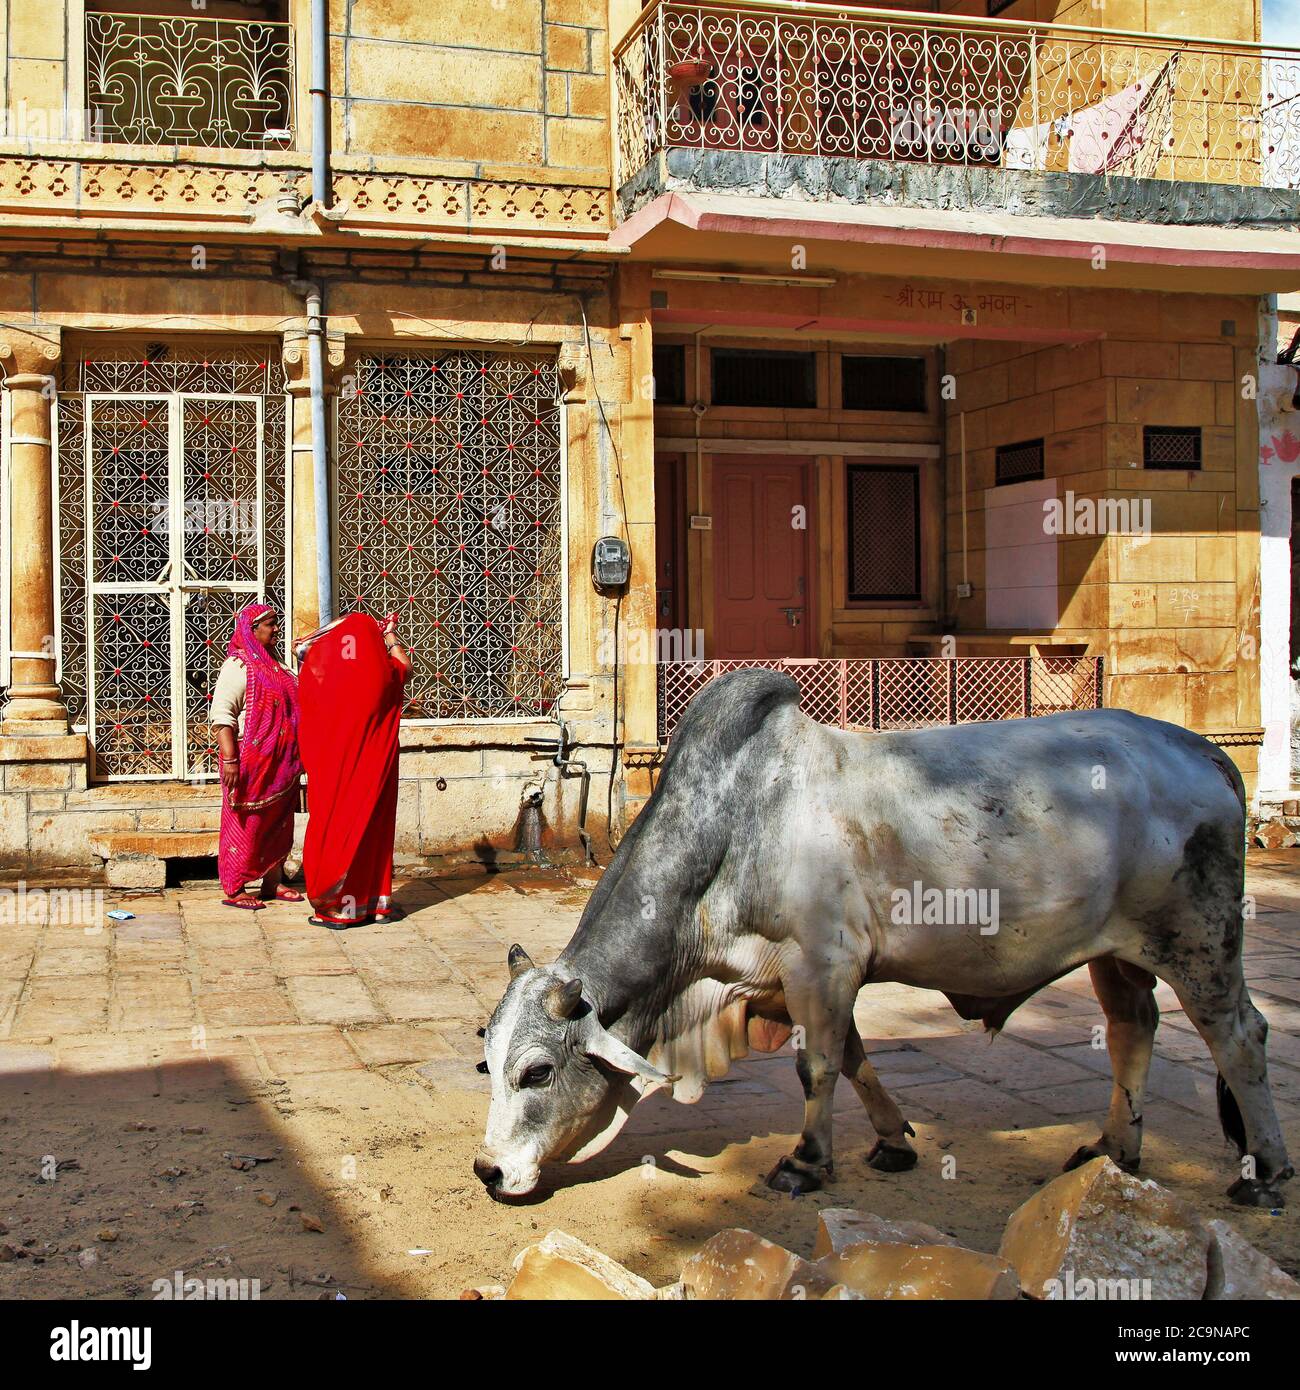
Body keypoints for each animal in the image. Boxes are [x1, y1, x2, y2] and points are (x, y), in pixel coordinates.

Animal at [473, 669, 1292, 1208]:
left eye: (538, 1072)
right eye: (487, 1063)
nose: (488, 1171)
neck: (735, 829)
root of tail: (1206, 751)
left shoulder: (821, 967)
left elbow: (819, 1068)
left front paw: (806, 1163)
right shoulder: (808, 980)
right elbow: (856, 1060)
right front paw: (894, 1140)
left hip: (1201, 944)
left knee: (1241, 1036)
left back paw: (1264, 1172)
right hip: (1117, 955)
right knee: (1132, 1029)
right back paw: (1114, 1151)